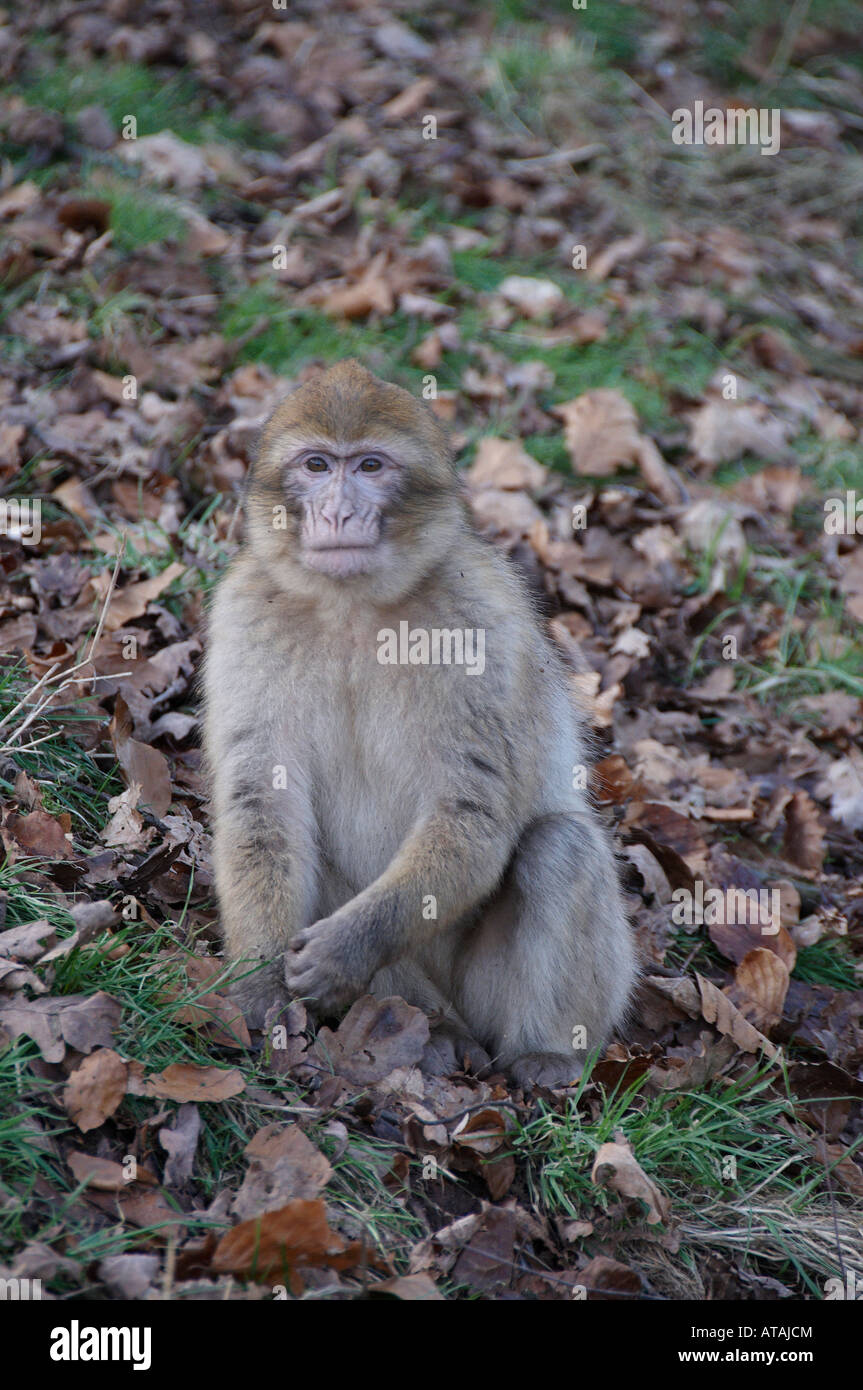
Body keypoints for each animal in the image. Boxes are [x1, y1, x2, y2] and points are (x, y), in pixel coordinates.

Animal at [203, 359, 635, 1088]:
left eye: (370, 466)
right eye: (317, 465)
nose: (338, 510)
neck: (351, 608)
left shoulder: (479, 624)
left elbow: (469, 811)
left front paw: (349, 949)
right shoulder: (243, 615)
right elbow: (262, 799)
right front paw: (259, 985)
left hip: (496, 994)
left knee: (561, 848)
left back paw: (542, 1055)